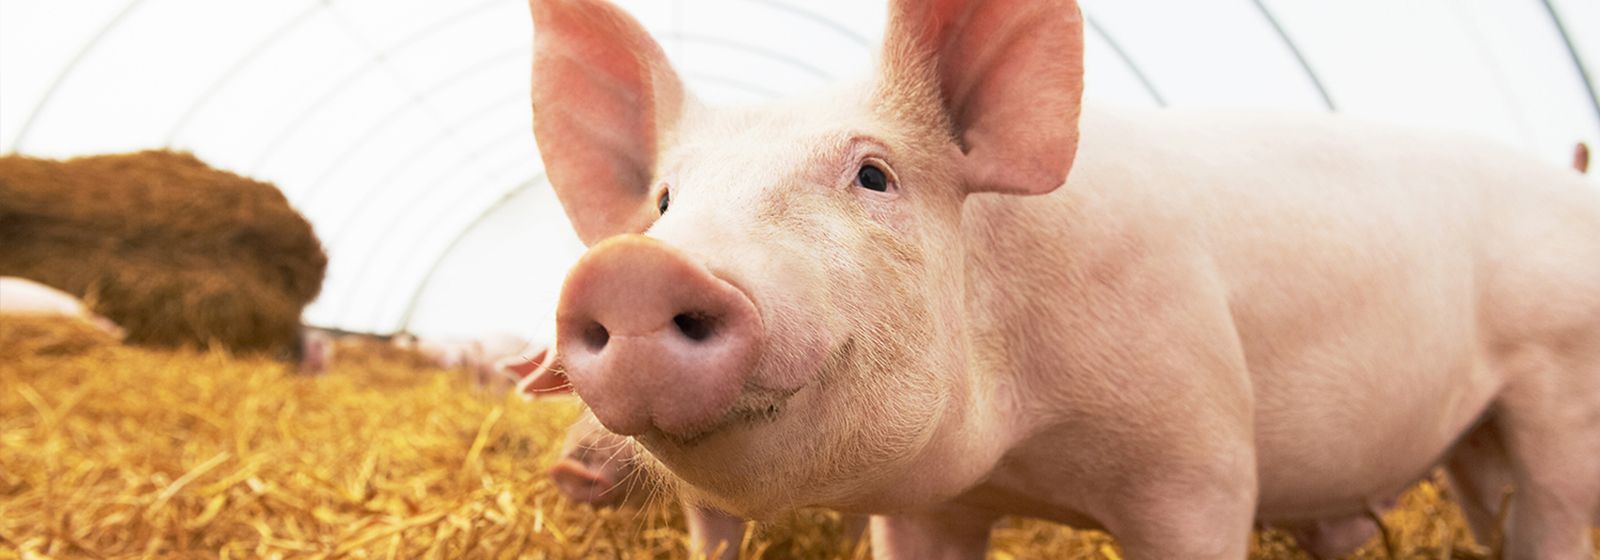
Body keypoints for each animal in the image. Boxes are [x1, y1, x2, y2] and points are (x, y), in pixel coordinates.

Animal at [526, 0, 1600, 558]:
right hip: (1475, 438)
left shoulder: (1199, 458)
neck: (1029, 452)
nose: (631, 267)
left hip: (1560, 384)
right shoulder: (924, 507)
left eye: (874, 175)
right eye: (666, 200)